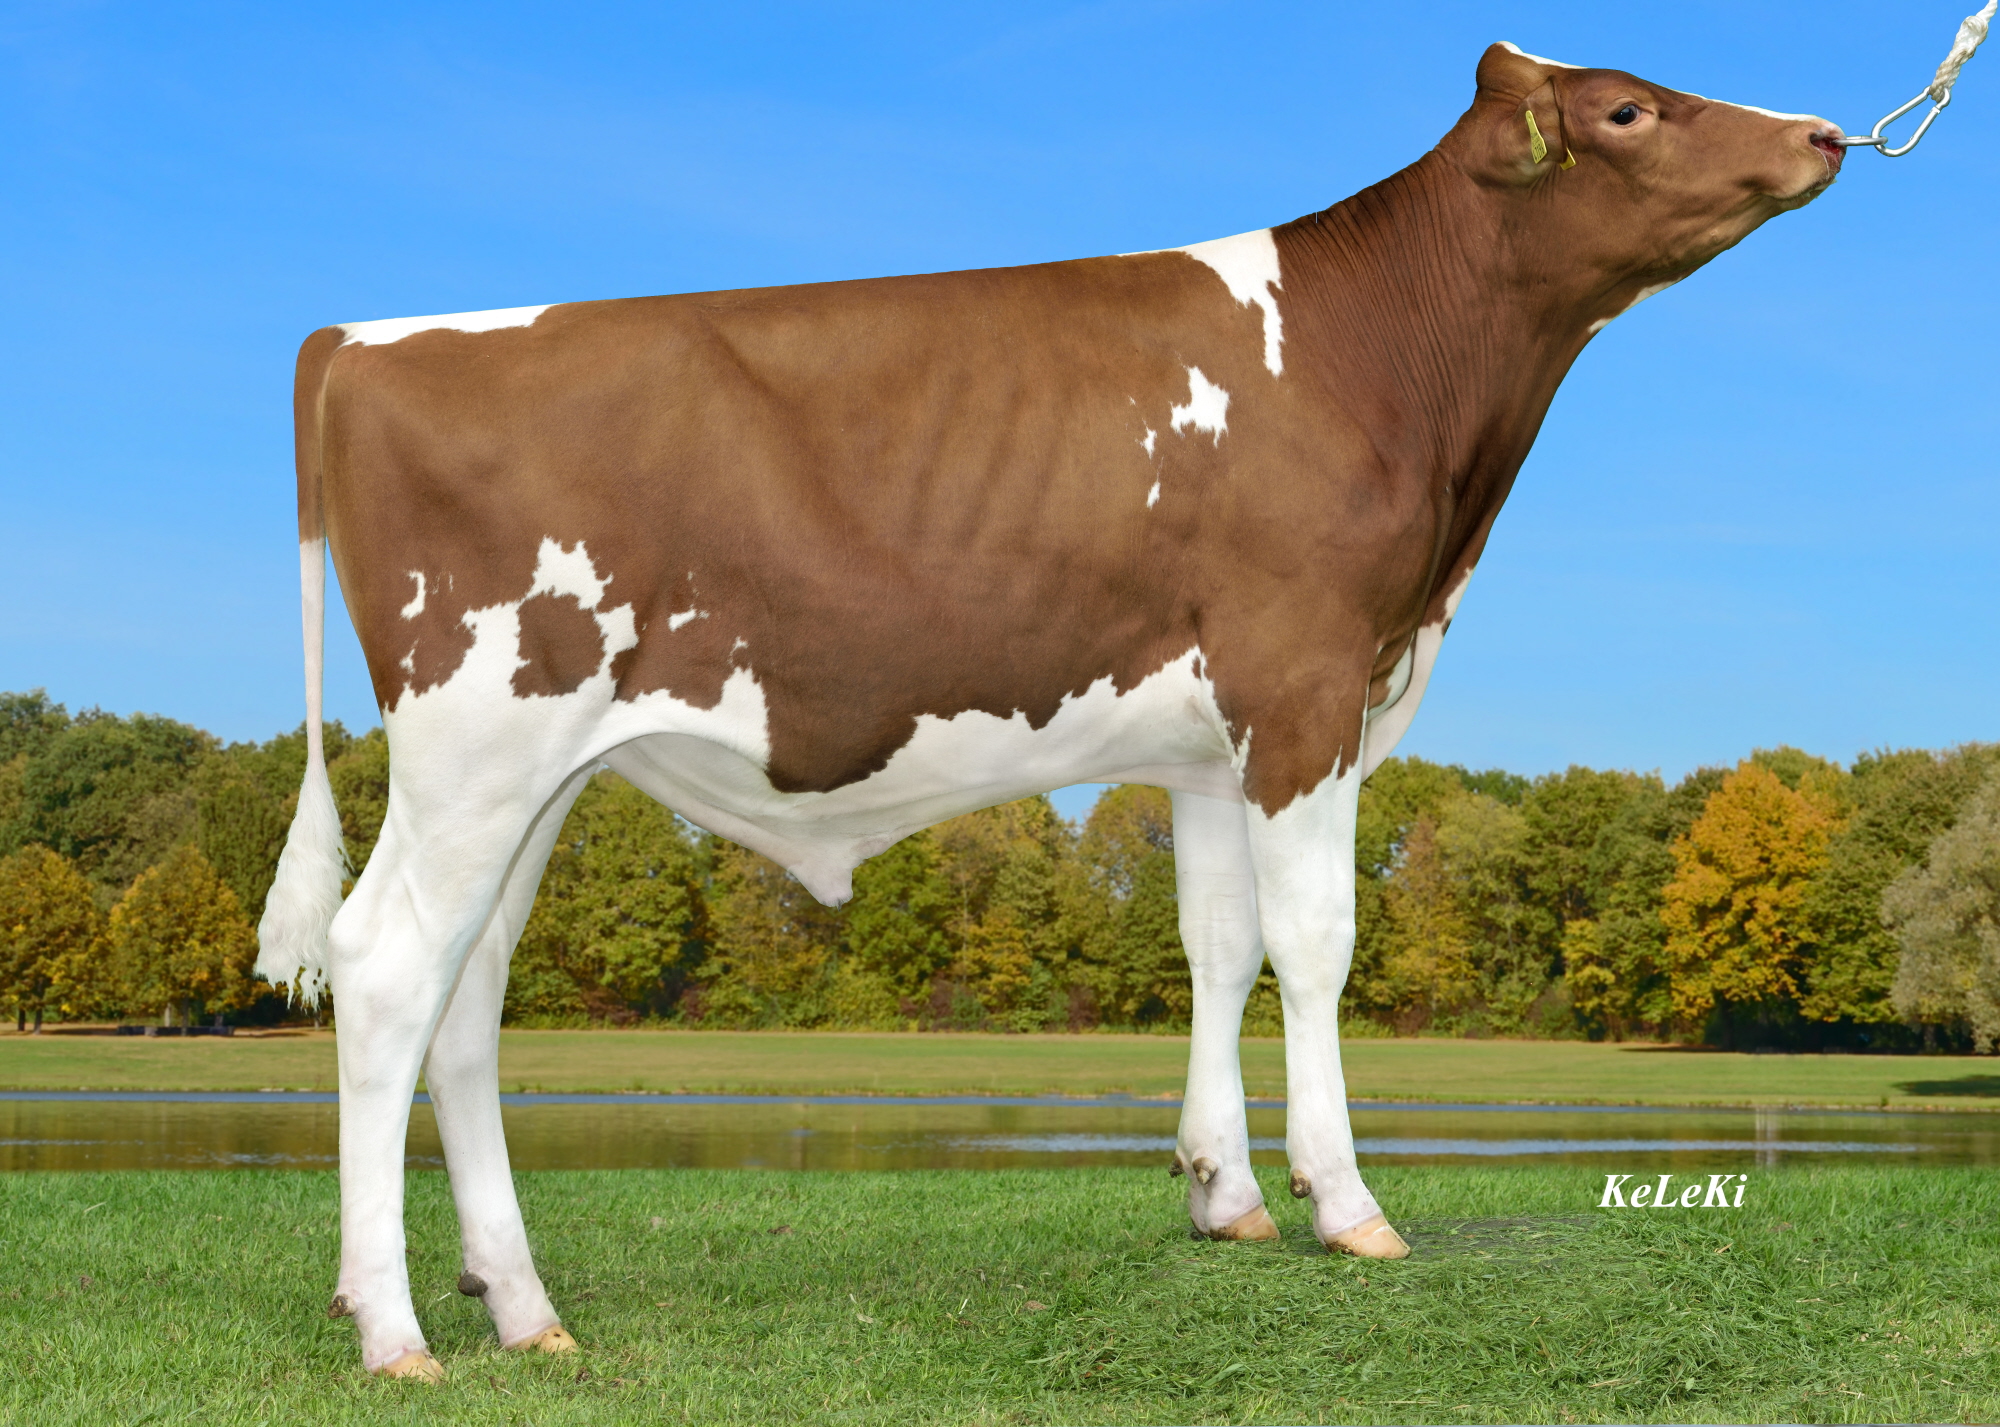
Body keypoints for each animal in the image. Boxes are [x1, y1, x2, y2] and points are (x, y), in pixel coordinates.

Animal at [256, 42, 1846, 1378]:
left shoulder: (1210, 743)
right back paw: (394, 1328)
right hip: (481, 736)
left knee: (465, 994)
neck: (1376, 364)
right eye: (1628, 108)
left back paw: (524, 1309)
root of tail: (362, 337)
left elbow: (1219, 944)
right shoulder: (1306, 681)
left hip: (532, 776)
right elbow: (1316, 946)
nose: (1827, 132)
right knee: (385, 969)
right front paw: (1344, 1205)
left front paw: (1222, 1194)